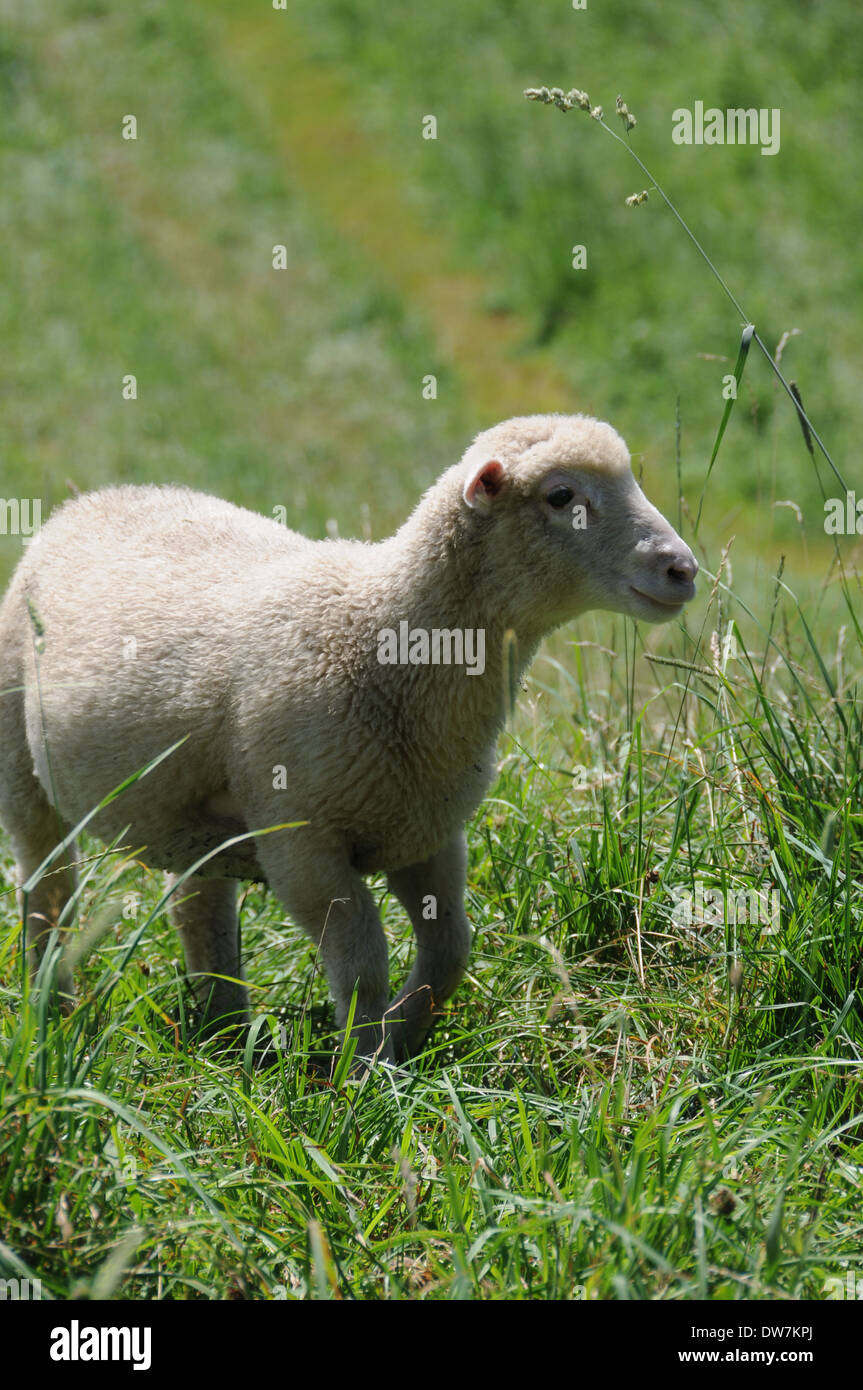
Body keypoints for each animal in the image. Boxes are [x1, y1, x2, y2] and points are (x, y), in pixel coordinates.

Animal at [0, 413, 697, 1064]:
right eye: (560, 495)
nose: (682, 568)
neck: (376, 632)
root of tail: (90, 498)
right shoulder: (301, 842)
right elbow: (362, 959)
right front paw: (362, 1076)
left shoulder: (427, 830)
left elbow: (450, 950)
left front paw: (403, 1041)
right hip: (23, 768)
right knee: (46, 891)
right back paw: (52, 1010)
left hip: (193, 820)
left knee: (199, 907)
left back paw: (223, 1032)